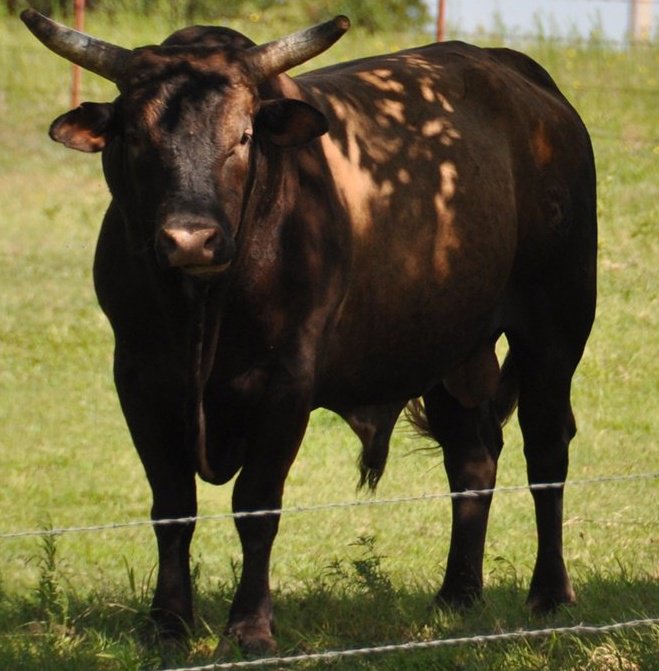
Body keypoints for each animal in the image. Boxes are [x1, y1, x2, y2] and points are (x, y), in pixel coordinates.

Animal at [22, 8, 597, 654]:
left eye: (243, 137)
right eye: (137, 138)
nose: (192, 239)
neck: (204, 311)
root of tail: (522, 76)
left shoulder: (286, 382)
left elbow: (256, 504)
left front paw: (249, 628)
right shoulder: (140, 377)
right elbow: (172, 506)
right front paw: (167, 623)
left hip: (557, 323)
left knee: (546, 449)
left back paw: (549, 593)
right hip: (447, 346)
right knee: (471, 458)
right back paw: (457, 594)